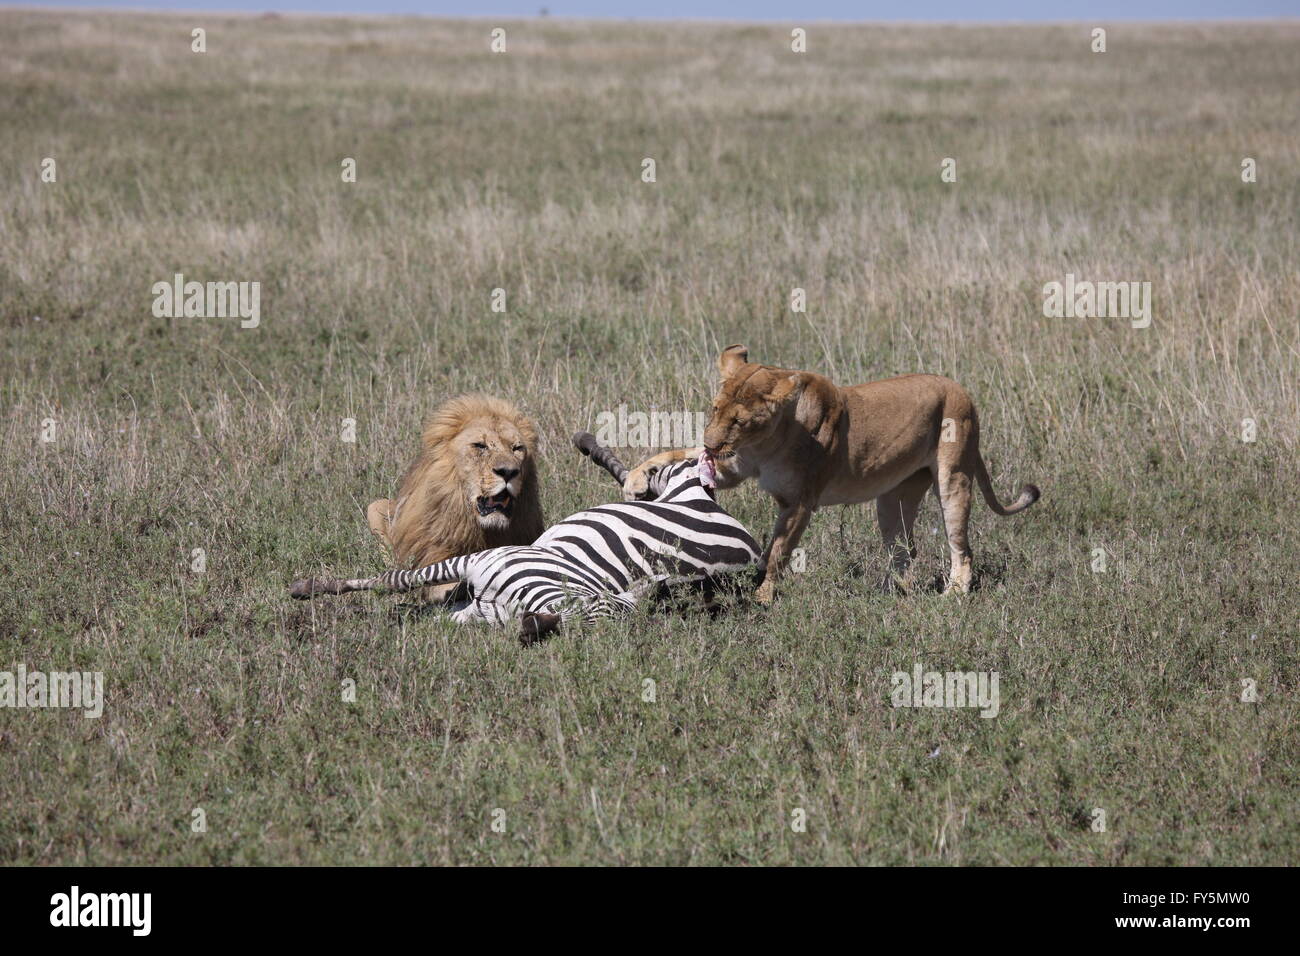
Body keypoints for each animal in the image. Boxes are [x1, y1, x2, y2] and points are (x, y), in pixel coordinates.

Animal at [289, 432, 761, 642]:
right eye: (591, 610)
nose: (534, 624)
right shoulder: (473, 569)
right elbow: (400, 582)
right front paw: (309, 588)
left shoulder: (472, 597)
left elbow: (415, 597)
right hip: (680, 488)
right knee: (678, 463)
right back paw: (601, 451)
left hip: (686, 496)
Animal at [625, 346, 1040, 604]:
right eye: (714, 409)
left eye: (740, 420)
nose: (711, 444)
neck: (764, 442)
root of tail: (963, 391)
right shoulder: (734, 468)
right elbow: (675, 451)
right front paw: (636, 477)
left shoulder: (799, 503)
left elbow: (777, 553)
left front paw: (762, 597)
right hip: (894, 498)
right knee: (905, 550)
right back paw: (888, 594)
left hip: (954, 478)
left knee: (961, 548)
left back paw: (952, 594)